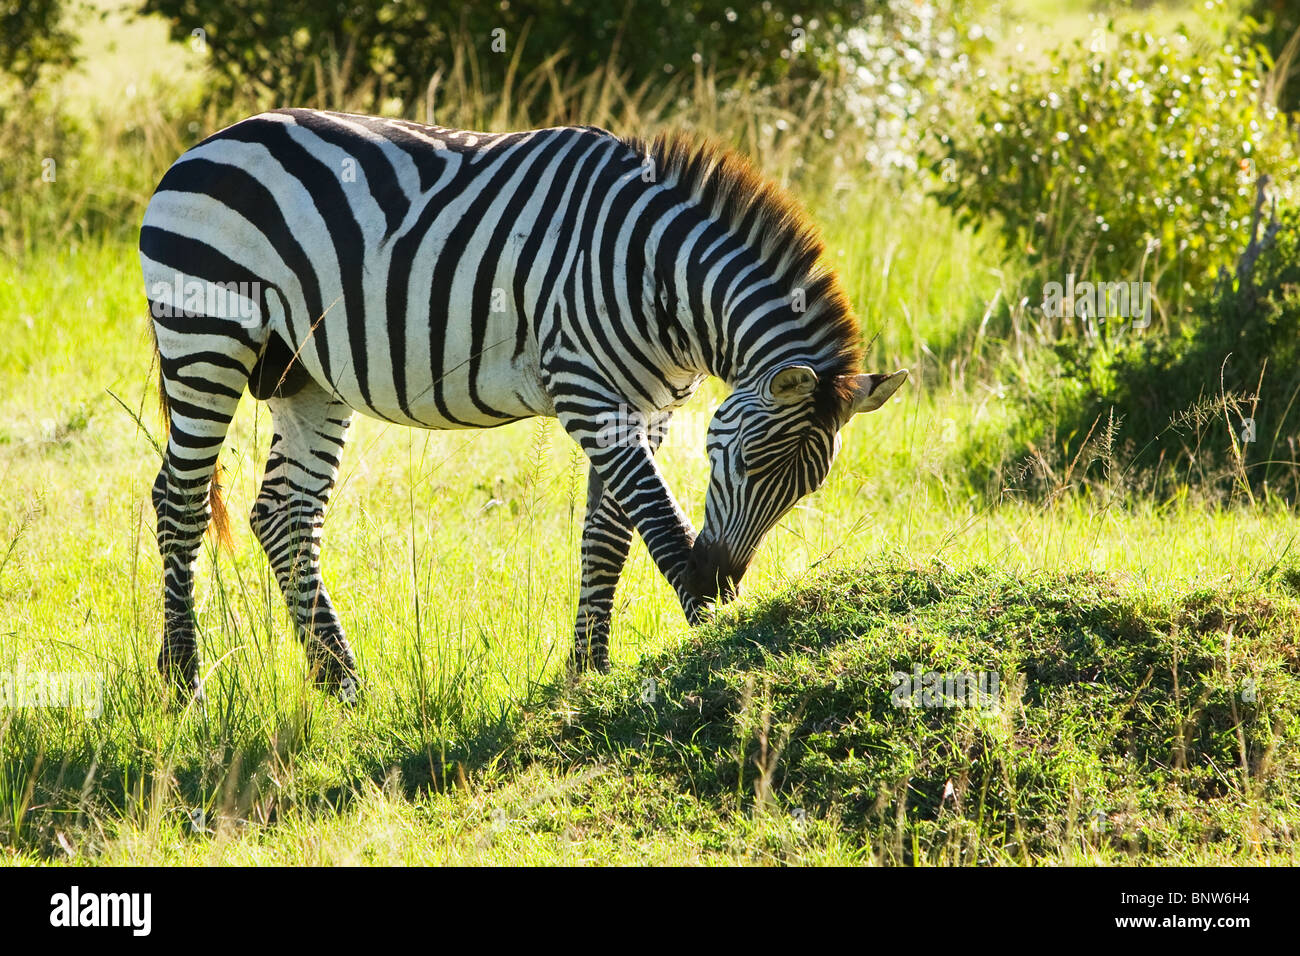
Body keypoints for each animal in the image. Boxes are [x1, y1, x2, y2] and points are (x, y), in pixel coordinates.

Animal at [140, 109, 908, 702]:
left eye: (804, 492)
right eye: (743, 462)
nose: (720, 581)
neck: (658, 277)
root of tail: (210, 142)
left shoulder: (648, 407)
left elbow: (609, 534)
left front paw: (588, 673)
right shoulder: (585, 388)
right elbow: (658, 521)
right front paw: (709, 639)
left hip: (304, 374)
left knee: (285, 515)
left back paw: (342, 684)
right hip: (206, 336)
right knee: (179, 499)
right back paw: (185, 683)